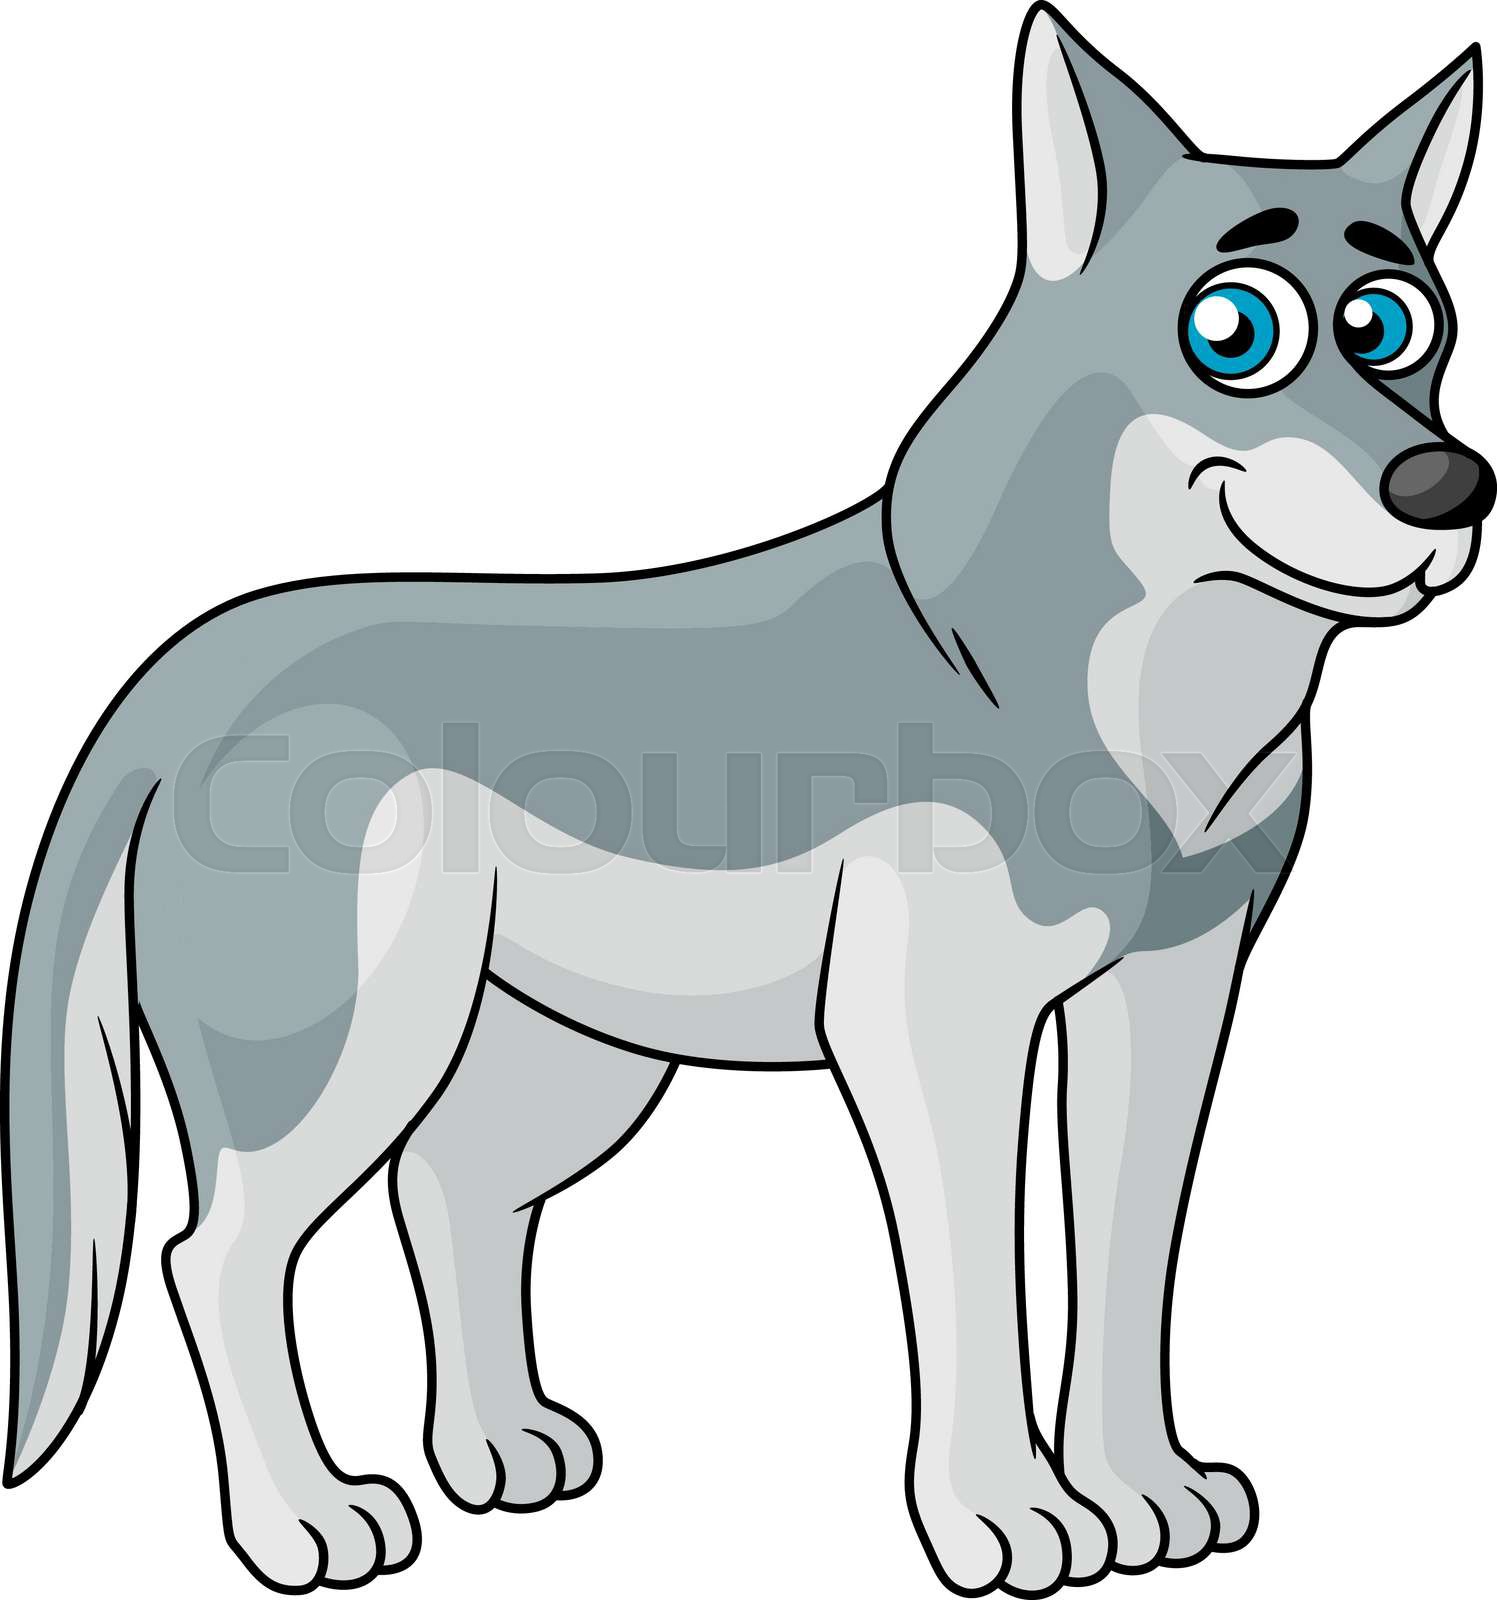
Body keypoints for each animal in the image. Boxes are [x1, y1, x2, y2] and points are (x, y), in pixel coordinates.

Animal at [3, 6, 1489, 1595]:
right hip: (348, 1064)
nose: (1451, 487)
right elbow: (980, 1291)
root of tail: (186, 665)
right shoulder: (937, 1038)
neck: (1151, 717)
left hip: (570, 1070)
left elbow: (1127, 1266)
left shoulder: (1172, 1004)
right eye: (1235, 333)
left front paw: (1146, 1495)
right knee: (216, 1255)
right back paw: (305, 1519)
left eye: (1399, 327)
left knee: (448, 1194)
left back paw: (497, 1454)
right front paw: (1007, 1519)